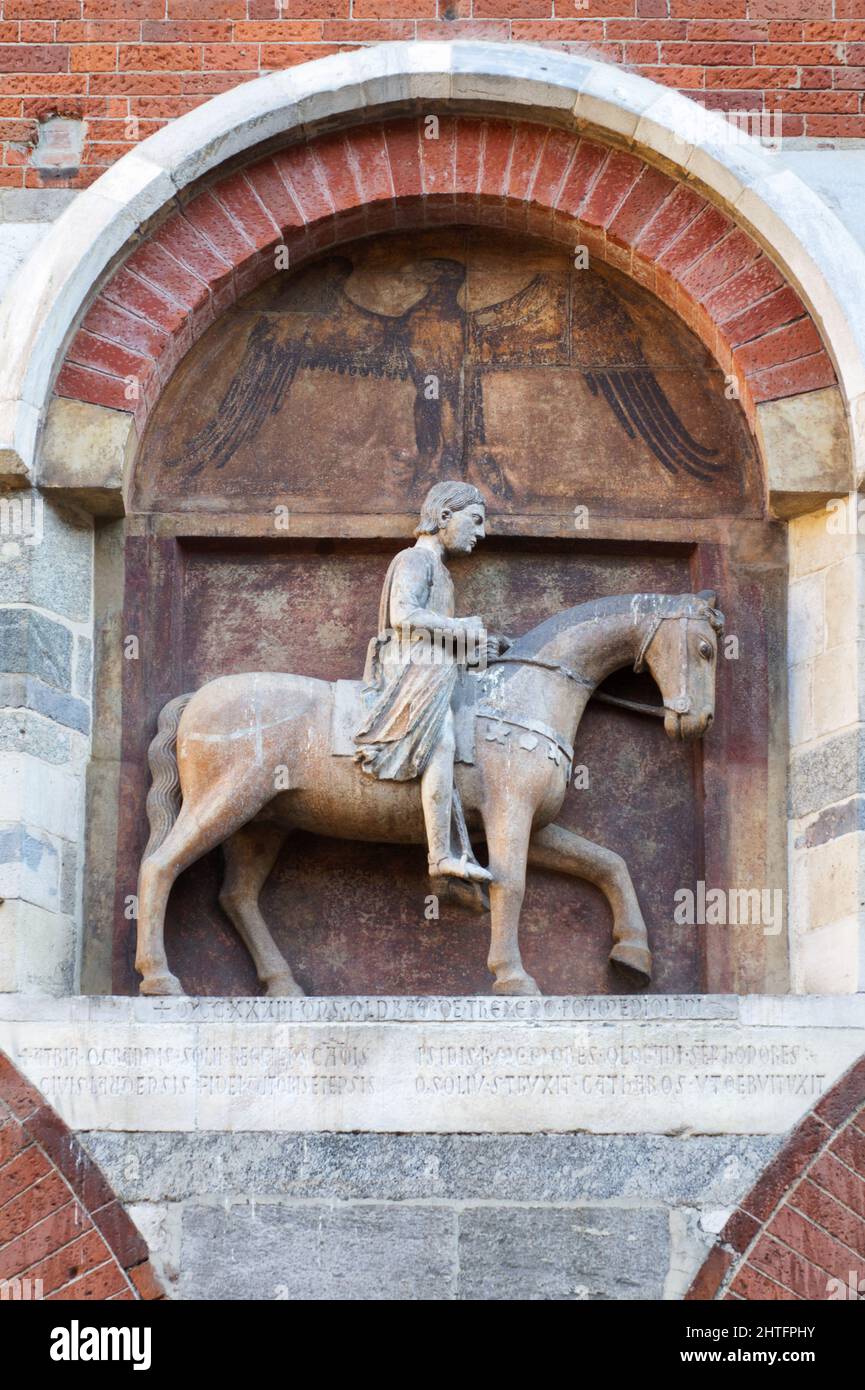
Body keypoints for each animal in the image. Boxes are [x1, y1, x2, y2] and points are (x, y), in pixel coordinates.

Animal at [132, 586, 723, 1000]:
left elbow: (609, 863)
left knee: (237, 897)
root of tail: (196, 699)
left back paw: (282, 985)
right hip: (225, 802)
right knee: (160, 868)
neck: (521, 694)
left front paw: (633, 956)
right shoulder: (510, 813)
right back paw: (159, 980)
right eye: (705, 649)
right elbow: (512, 886)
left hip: (262, 824)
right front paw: (513, 978)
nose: (696, 722)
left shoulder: (534, 824)